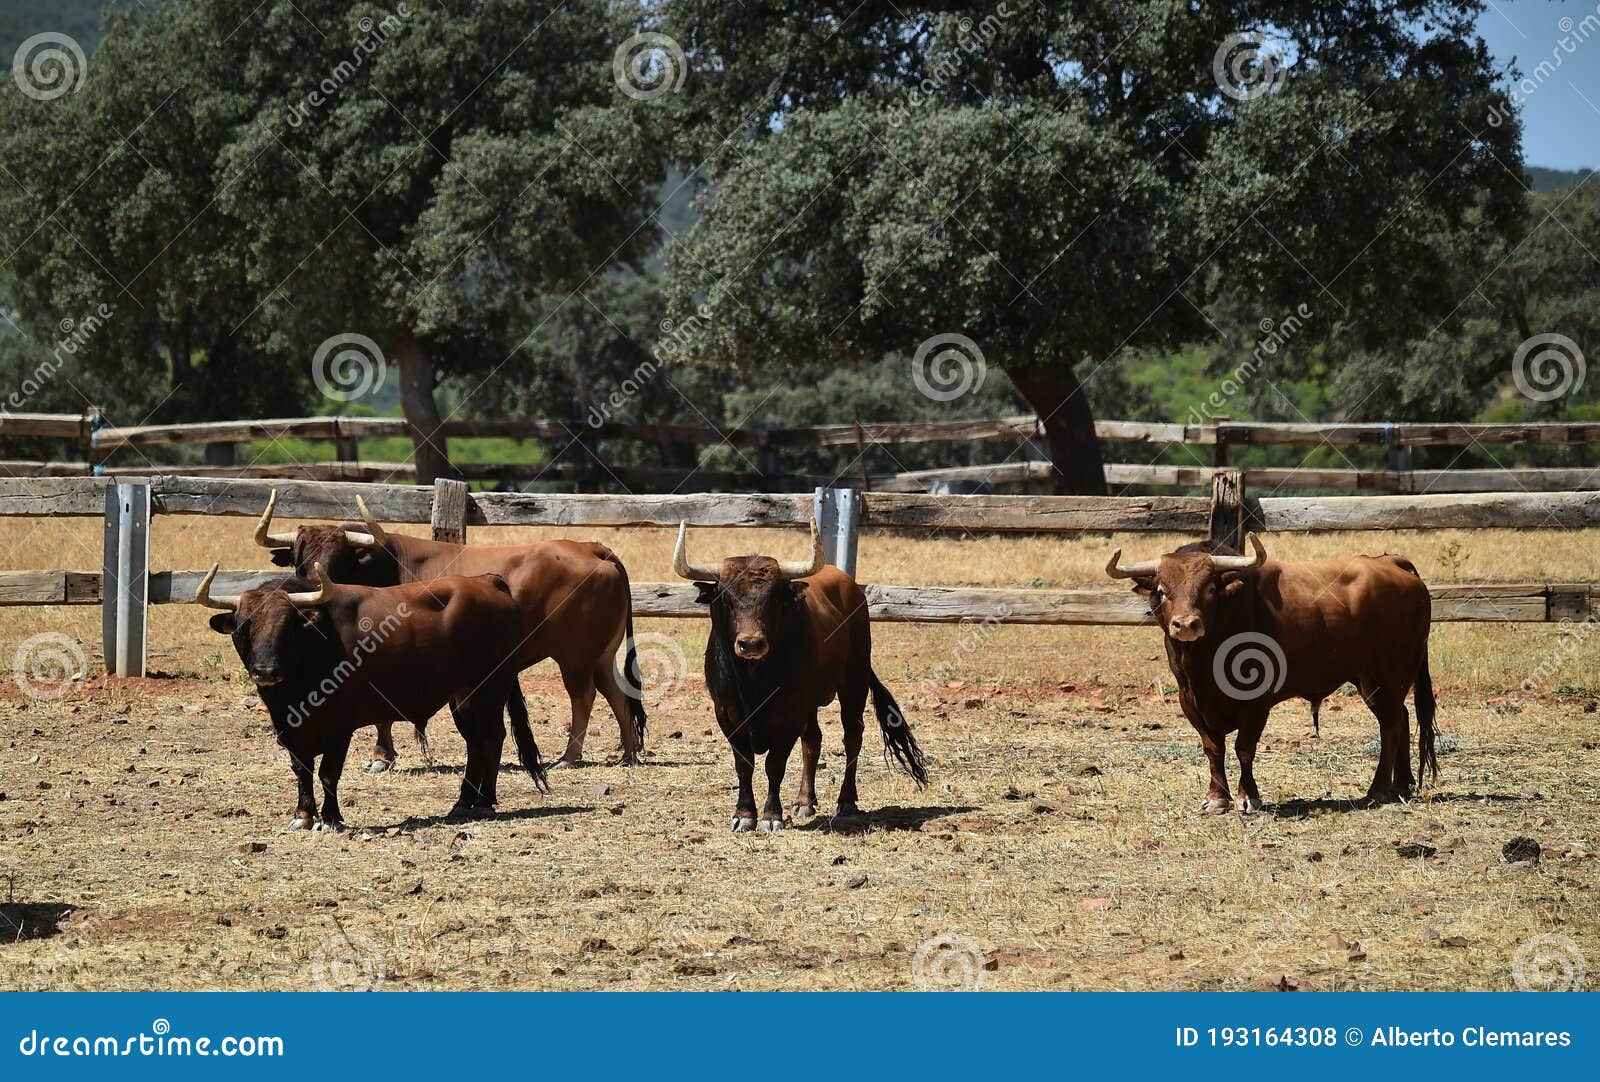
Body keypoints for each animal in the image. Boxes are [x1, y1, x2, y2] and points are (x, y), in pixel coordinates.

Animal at [196, 563, 547, 829]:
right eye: (244, 627)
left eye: (288, 626)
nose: (266, 671)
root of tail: (486, 581)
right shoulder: (289, 725)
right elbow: (302, 770)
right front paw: (303, 816)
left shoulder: (339, 727)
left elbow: (328, 772)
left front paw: (331, 819)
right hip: (462, 698)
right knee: (475, 743)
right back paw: (463, 803)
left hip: (488, 690)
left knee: (492, 739)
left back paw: (485, 802)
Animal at [252, 491, 645, 772]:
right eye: (299, 561)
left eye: (337, 561)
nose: (312, 592)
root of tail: (592, 548)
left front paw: (381, 756)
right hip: (601, 654)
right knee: (617, 693)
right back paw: (628, 753)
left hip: (574, 656)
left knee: (584, 696)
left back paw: (569, 757)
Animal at [672, 519, 928, 832]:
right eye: (725, 597)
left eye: (775, 599)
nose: (751, 644)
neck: (753, 680)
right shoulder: (726, 713)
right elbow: (744, 765)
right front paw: (744, 815)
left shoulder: (790, 713)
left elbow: (775, 765)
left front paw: (771, 816)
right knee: (813, 741)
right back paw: (804, 800)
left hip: (853, 683)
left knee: (852, 736)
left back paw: (846, 801)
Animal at [1106, 533, 1436, 813]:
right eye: (1163, 591)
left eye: (1210, 588)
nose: (1186, 624)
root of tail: (1391, 563)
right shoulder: (1190, 700)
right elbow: (1213, 748)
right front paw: (1217, 798)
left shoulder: (1256, 702)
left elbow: (1244, 747)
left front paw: (1248, 797)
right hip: (1372, 680)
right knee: (1401, 718)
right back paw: (1401, 785)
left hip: (1388, 675)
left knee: (1390, 725)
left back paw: (1378, 789)